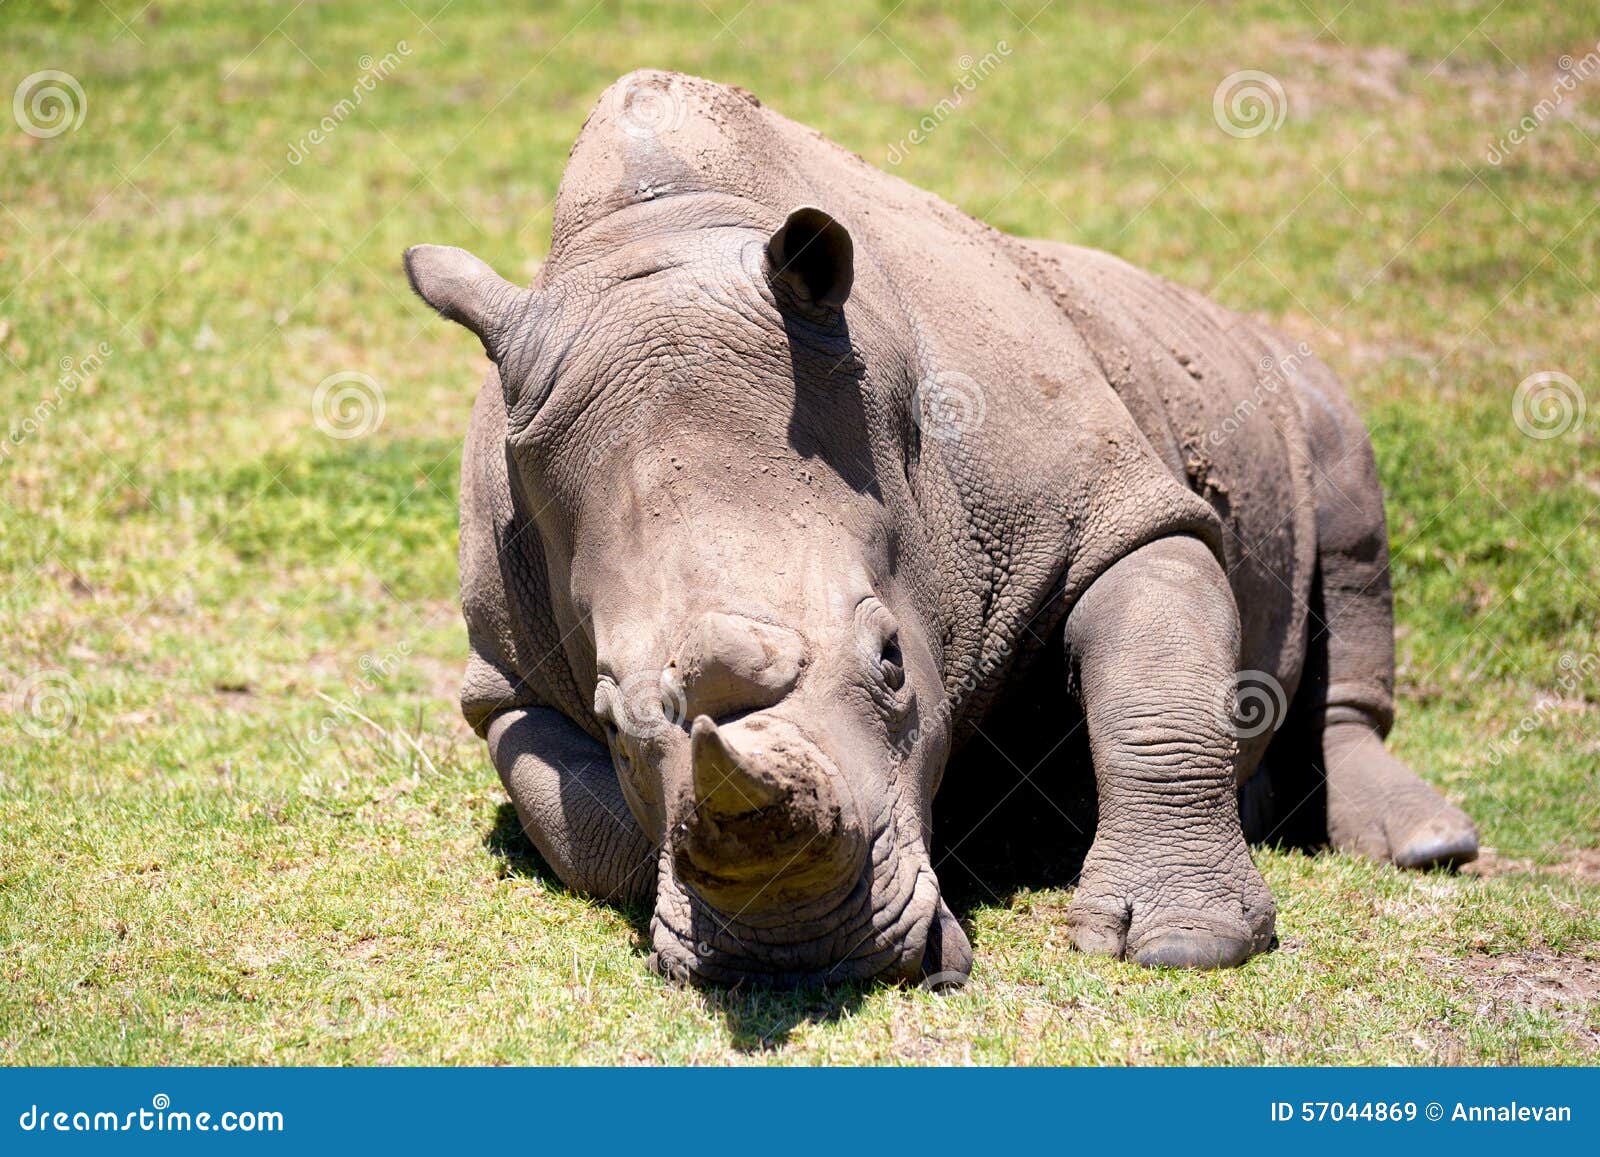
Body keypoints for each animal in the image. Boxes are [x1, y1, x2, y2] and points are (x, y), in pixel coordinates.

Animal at [402, 70, 1478, 986]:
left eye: (891, 659)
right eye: (610, 706)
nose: (800, 960)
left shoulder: (1111, 514)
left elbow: (1158, 692)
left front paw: (1185, 942)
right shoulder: (503, 675)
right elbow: (588, 831)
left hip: (1274, 368)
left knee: (1347, 501)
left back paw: (1424, 844)